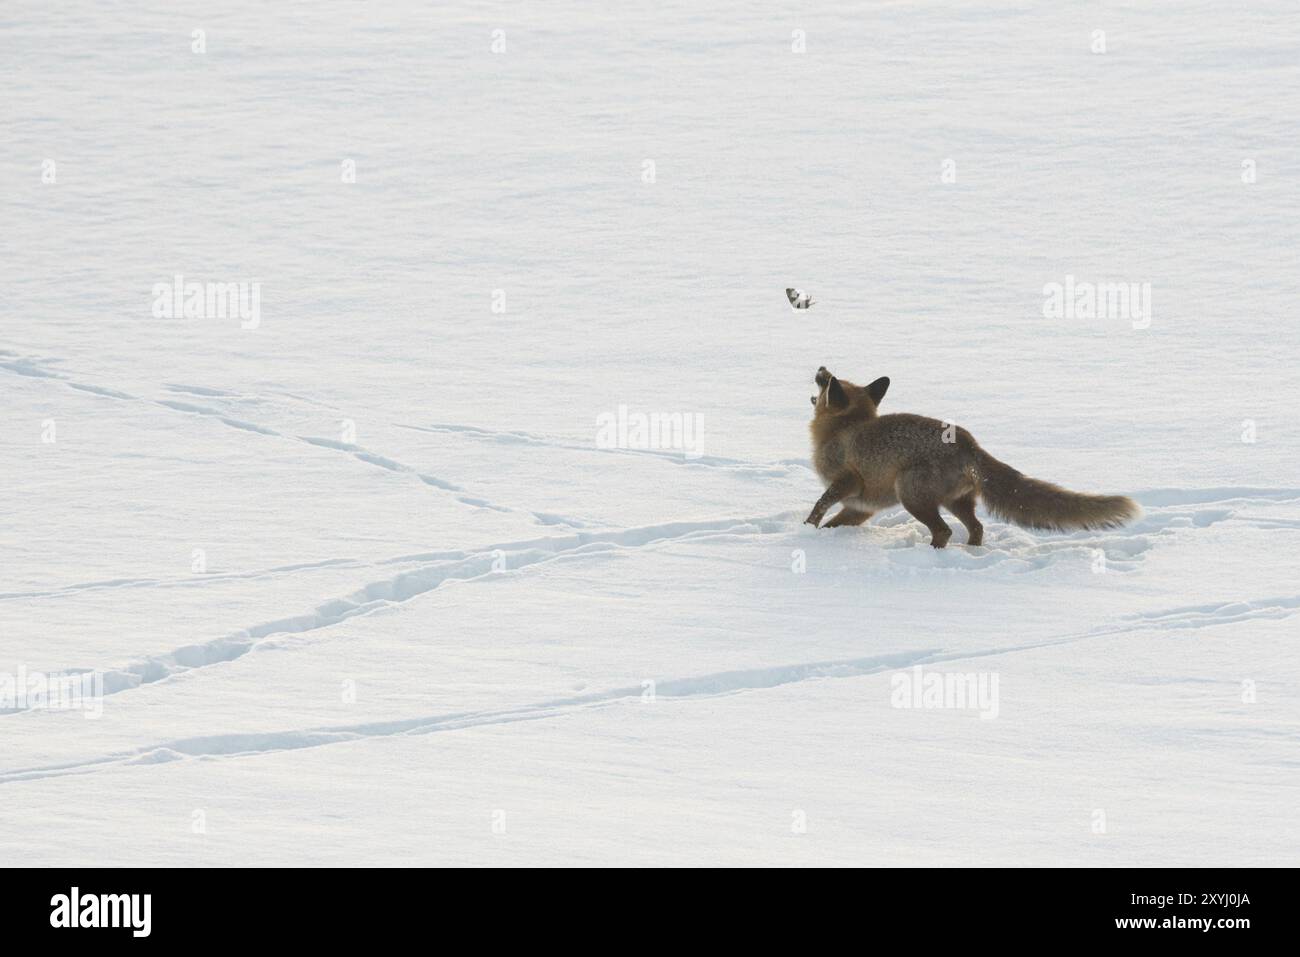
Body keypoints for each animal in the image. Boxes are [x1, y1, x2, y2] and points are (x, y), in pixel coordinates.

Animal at [805, 367, 1138, 548]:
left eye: (829, 381)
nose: (821, 368)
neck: (842, 430)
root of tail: (970, 443)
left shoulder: (849, 482)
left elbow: (819, 506)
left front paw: (805, 532)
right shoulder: (861, 507)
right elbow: (833, 524)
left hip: (911, 495)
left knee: (944, 530)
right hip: (955, 501)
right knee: (976, 528)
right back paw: (972, 552)